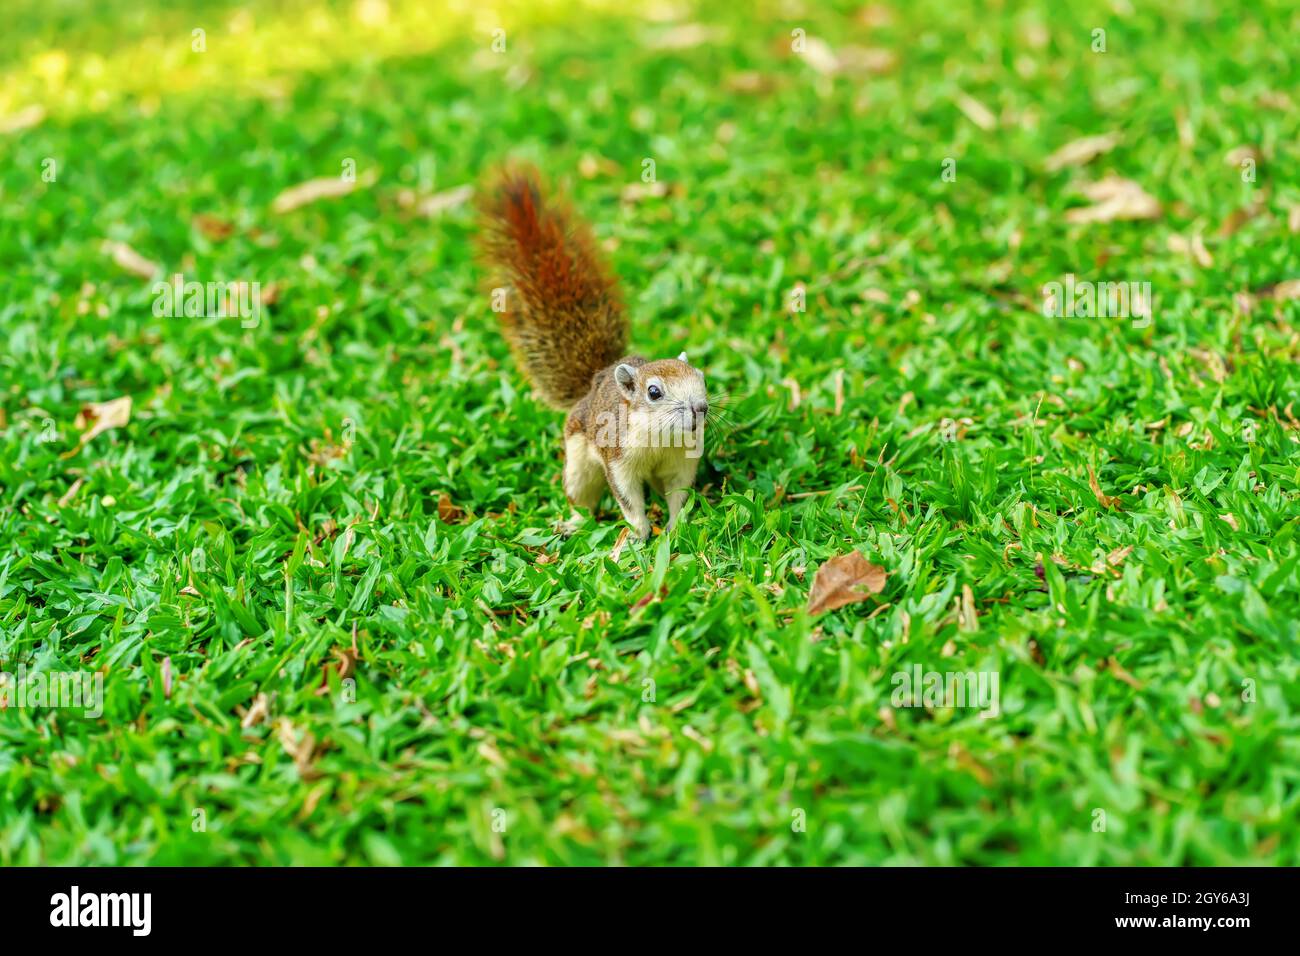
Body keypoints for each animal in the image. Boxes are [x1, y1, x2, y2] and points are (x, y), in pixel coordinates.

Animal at [478, 165, 709, 540]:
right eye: (654, 392)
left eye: (703, 379)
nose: (700, 409)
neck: (660, 438)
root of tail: (596, 379)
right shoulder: (616, 457)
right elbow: (627, 497)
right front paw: (639, 534)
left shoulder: (681, 460)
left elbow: (679, 494)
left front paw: (676, 529)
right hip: (578, 461)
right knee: (581, 496)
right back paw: (574, 523)